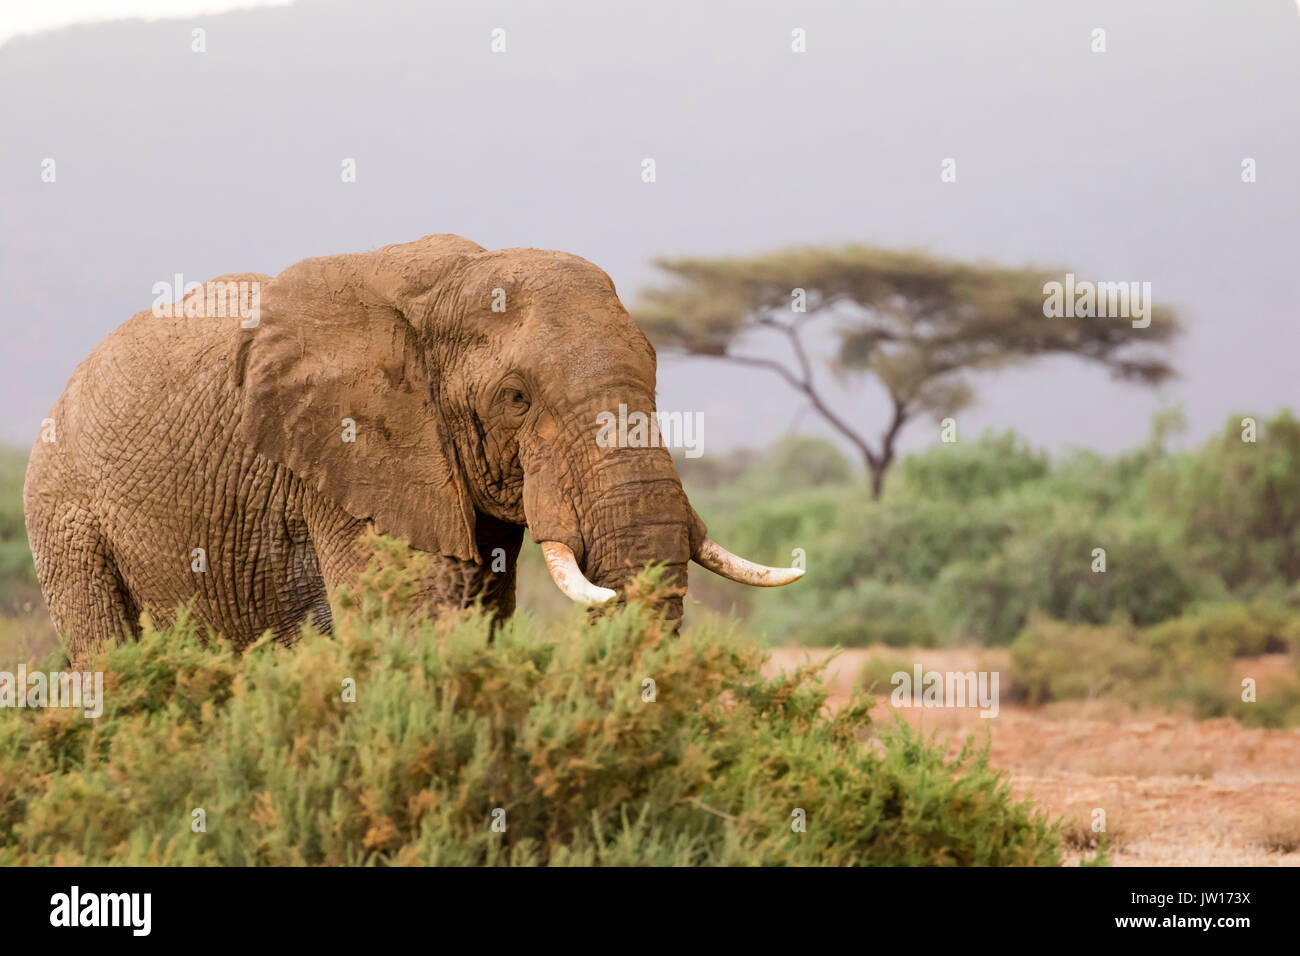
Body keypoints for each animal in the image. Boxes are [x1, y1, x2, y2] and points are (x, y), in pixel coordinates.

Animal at [24, 235, 802, 664]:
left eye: (656, 377)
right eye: (516, 398)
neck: (453, 278)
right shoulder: (350, 459)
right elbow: (410, 622)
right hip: (63, 520)